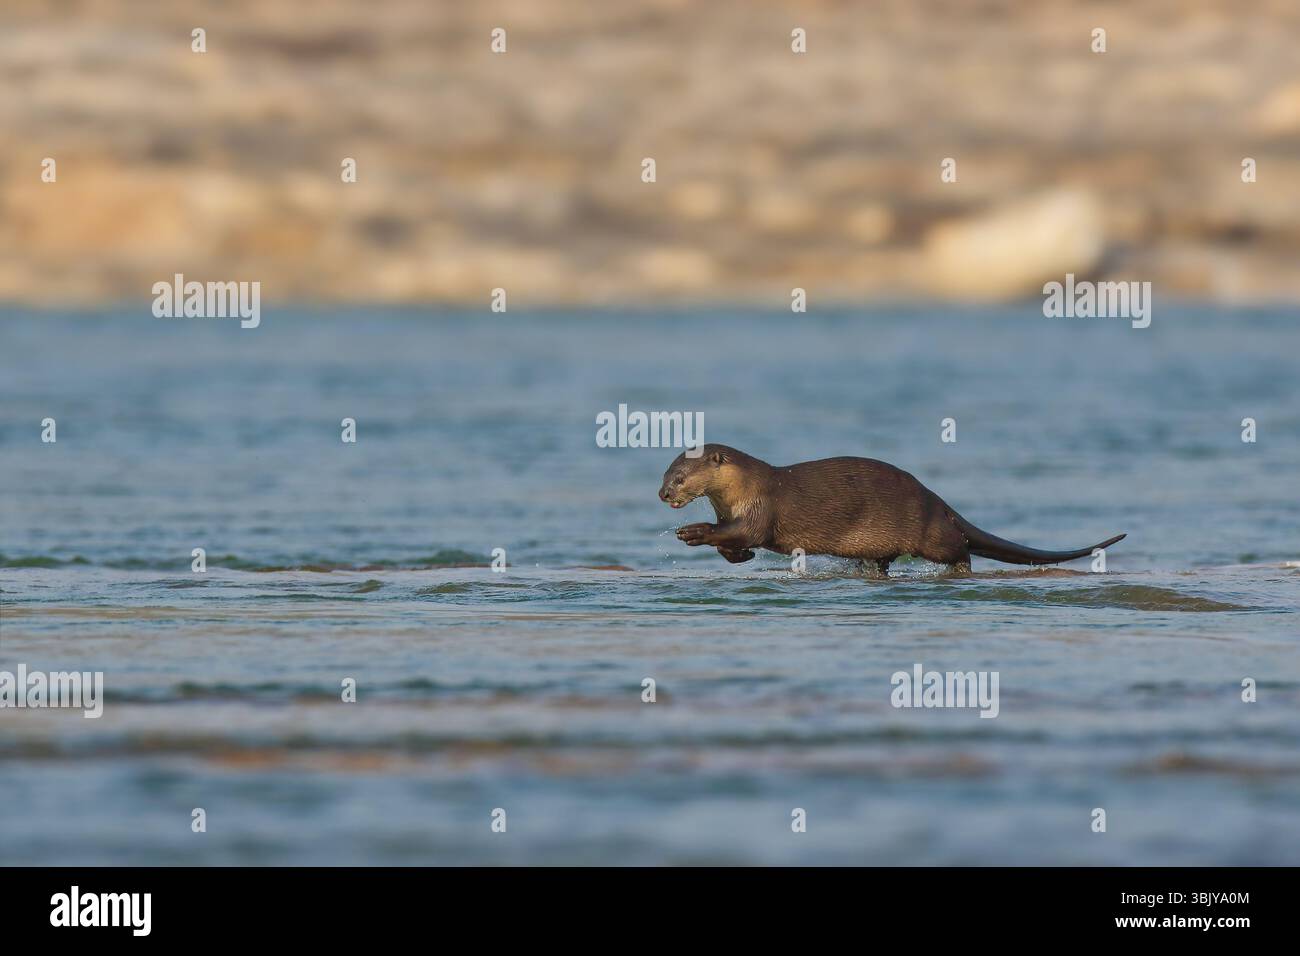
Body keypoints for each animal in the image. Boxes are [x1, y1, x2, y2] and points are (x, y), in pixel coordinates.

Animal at [658, 444, 1125, 573]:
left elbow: (745, 532)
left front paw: (694, 532)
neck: (746, 488)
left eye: (679, 478)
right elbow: (735, 542)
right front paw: (738, 555)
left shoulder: (759, 509)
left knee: (959, 547)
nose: (663, 494)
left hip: (930, 532)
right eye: (664, 474)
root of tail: (936, 500)